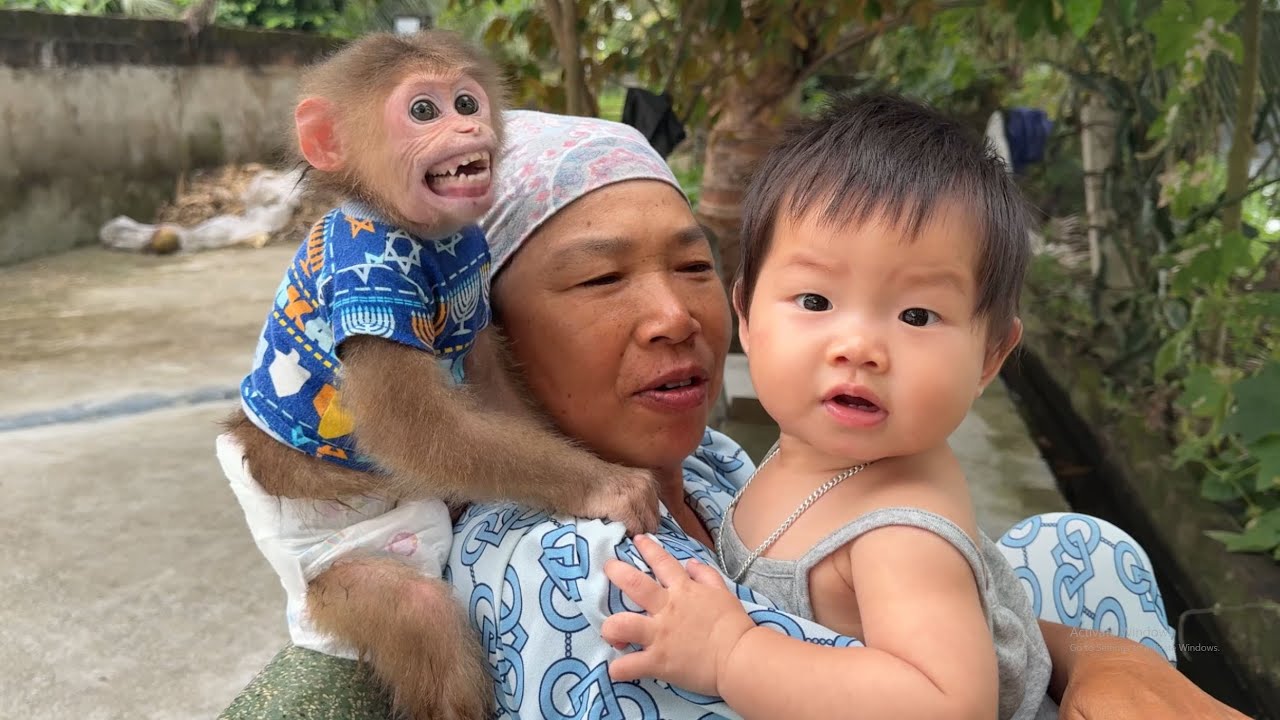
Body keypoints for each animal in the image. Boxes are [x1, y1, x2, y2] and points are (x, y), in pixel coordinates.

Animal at [220, 31, 659, 720]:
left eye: (466, 100)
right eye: (424, 111)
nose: (468, 125)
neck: (423, 237)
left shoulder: (471, 260)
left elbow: (483, 376)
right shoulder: (366, 270)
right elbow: (410, 428)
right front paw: (606, 485)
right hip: (320, 564)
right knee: (418, 610)